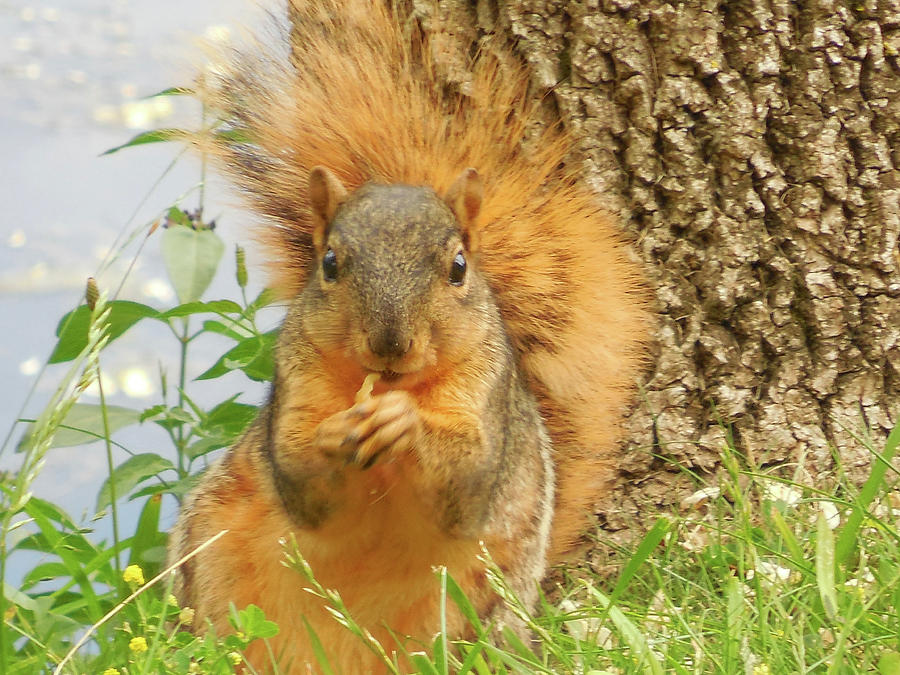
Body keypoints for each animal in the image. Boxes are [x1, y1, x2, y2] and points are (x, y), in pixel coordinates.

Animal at [167, 0, 650, 672]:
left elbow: (466, 477)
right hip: (216, 559)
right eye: (329, 264)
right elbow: (300, 476)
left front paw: (405, 423)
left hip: (472, 610)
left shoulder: (487, 398)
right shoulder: (296, 381)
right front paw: (337, 434)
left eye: (458, 267)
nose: (390, 345)